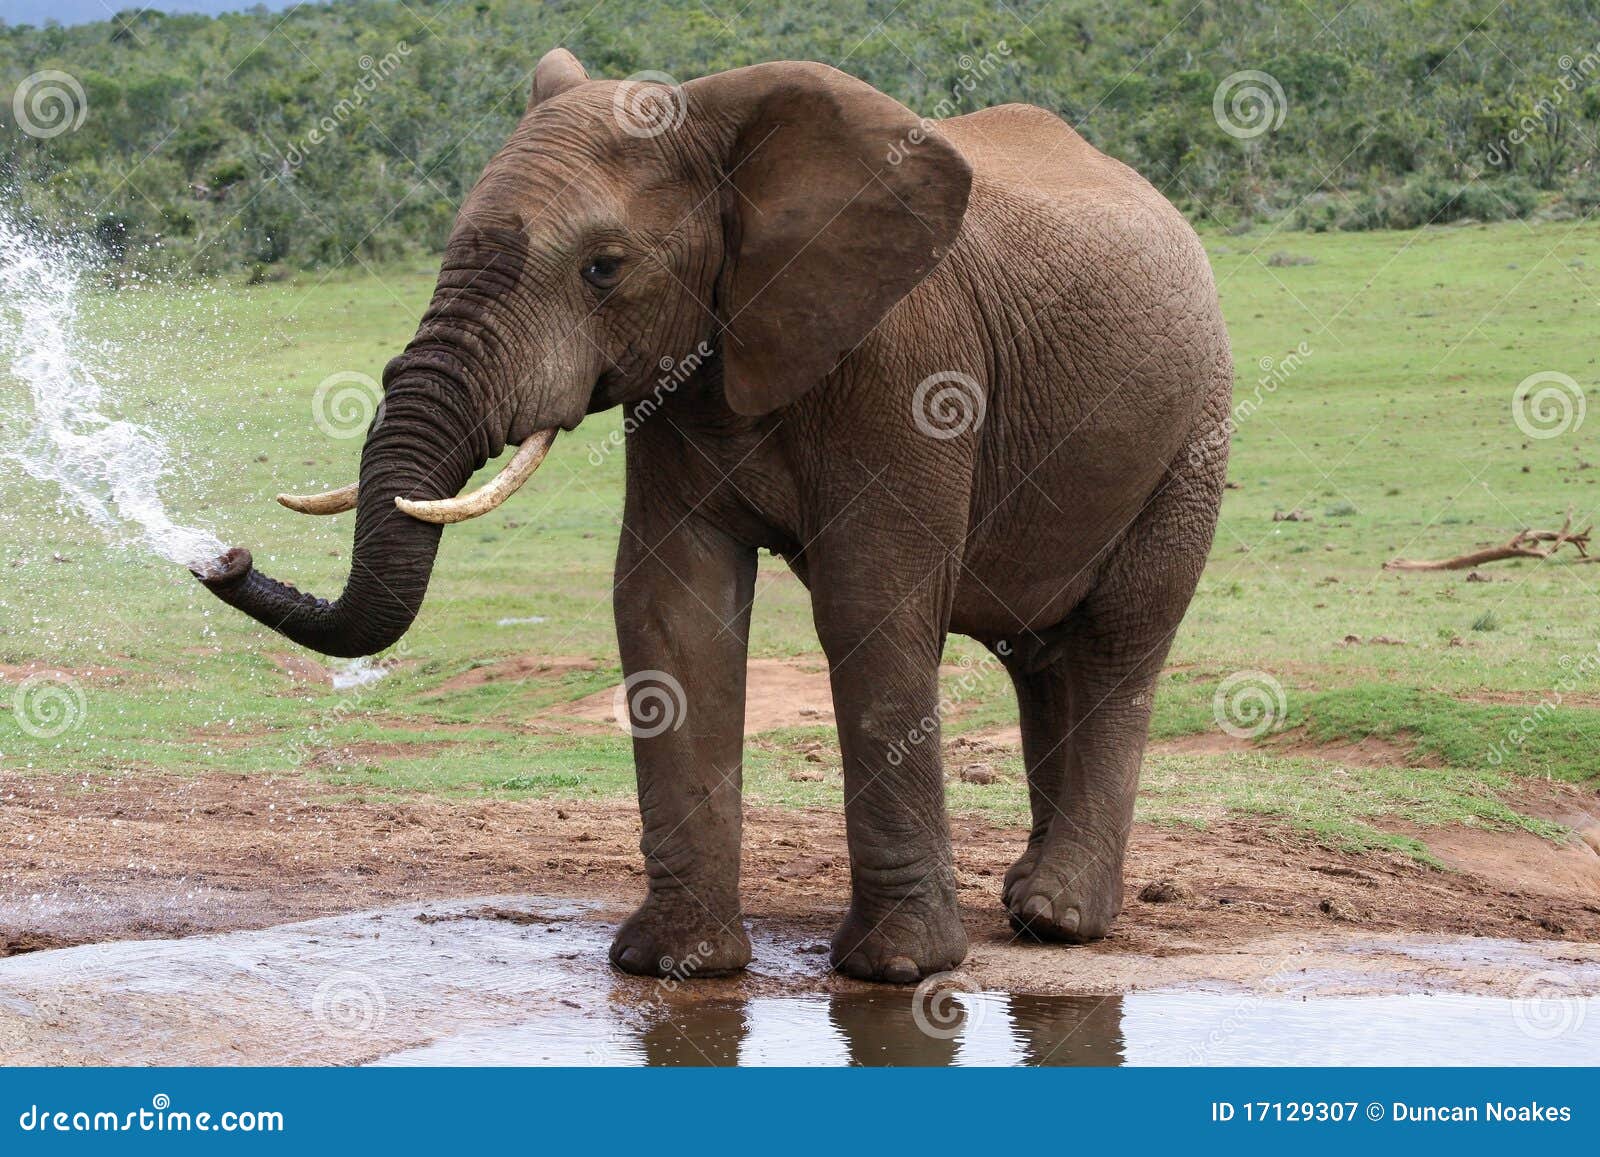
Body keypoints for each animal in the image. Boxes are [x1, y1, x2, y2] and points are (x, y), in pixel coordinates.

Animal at [194, 50, 1232, 984]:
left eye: (603, 269)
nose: (224, 557)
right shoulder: (681, 375)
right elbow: (671, 604)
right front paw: (674, 964)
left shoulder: (913, 370)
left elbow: (871, 606)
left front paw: (898, 970)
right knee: (1040, 658)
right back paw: (1023, 900)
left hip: (1195, 431)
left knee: (1118, 642)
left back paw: (1058, 918)